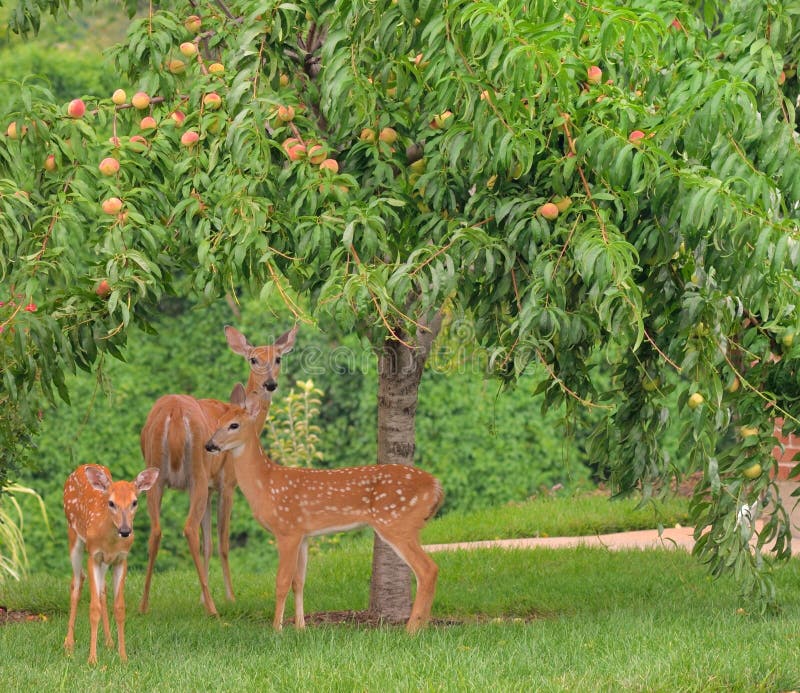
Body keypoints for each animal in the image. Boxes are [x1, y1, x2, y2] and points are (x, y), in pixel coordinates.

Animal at [63, 464, 159, 664]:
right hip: (73, 535)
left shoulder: (121, 559)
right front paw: (92, 659)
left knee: (102, 590)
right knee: (77, 582)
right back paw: (69, 644)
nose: (125, 530)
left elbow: (119, 608)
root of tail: (81, 467)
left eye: (134, 502)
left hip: (105, 562)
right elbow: (93, 608)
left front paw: (123, 657)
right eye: (111, 503)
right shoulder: (94, 555)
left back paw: (109, 642)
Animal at [138, 325, 297, 617]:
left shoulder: (212, 488)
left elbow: (208, 543)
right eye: (253, 359)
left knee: (156, 531)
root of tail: (174, 414)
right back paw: (214, 609)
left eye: (278, 358)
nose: (270, 384)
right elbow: (222, 542)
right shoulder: (227, 483)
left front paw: (202, 596)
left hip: (155, 474)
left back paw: (144, 605)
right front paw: (229, 597)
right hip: (197, 474)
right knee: (188, 528)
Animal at [204, 383, 445, 634]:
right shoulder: (303, 535)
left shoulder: (287, 529)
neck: (266, 483)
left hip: (397, 522)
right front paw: (301, 628)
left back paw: (411, 629)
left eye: (234, 425)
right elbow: (299, 582)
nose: (209, 445)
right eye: (217, 421)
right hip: (407, 525)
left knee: (428, 569)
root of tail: (436, 486)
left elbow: (282, 581)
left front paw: (276, 629)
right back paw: (422, 626)